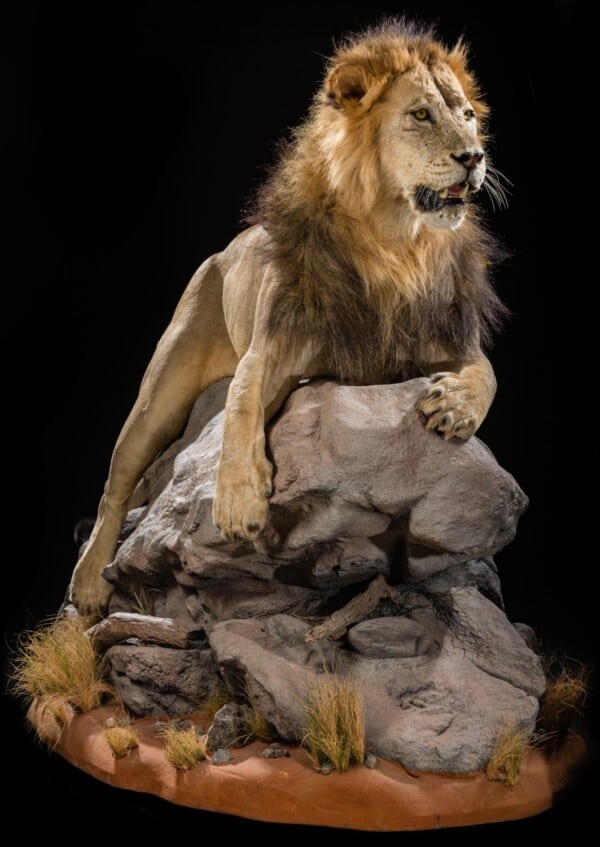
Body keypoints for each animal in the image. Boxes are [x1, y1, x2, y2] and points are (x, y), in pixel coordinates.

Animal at [69, 20, 508, 615]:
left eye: (466, 115)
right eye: (420, 115)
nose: (474, 156)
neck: (394, 243)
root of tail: (224, 249)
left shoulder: (447, 338)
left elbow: (488, 372)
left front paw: (456, 406)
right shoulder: (272, 345)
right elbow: (241, 394)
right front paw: (237, 499)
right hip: (158, 395)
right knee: (114, 490)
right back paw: (90, 583)